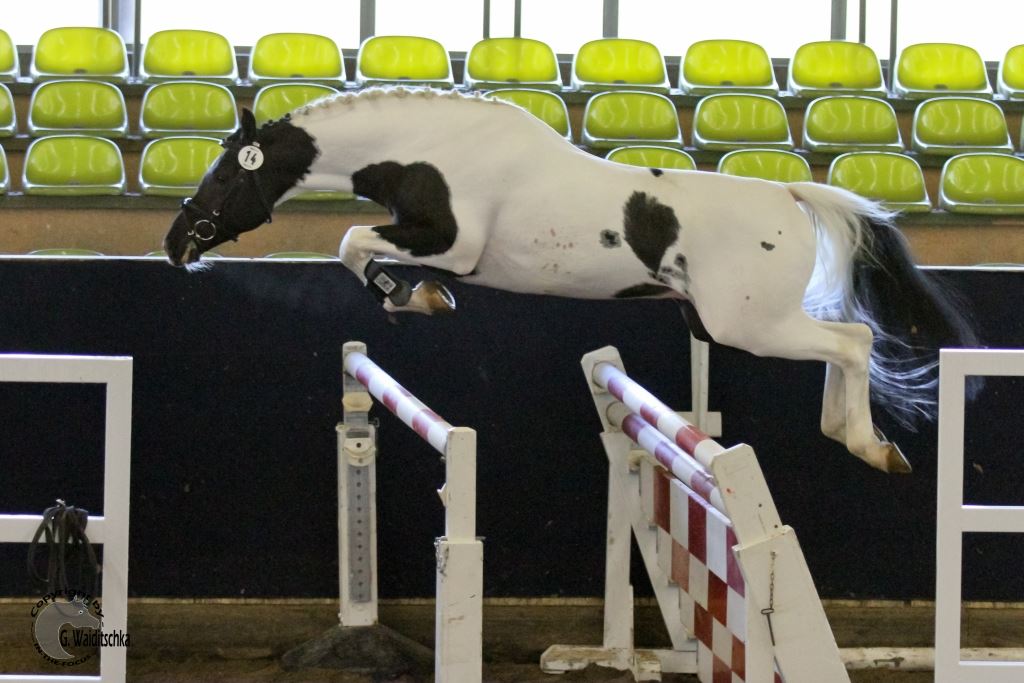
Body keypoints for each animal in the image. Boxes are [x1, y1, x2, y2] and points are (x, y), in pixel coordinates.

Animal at [163, 87, 978, 474]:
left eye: (222, 176)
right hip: (730, 323)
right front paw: (415, 296)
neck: (427, 147)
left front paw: (416, 296)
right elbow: (357, 248)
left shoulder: (455, 243)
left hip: (751, 324)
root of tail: (791, 193)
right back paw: (859, 438)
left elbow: (351, 242)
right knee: (849, 341)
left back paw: (868, 445)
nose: (175, 243)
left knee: (853, 340)